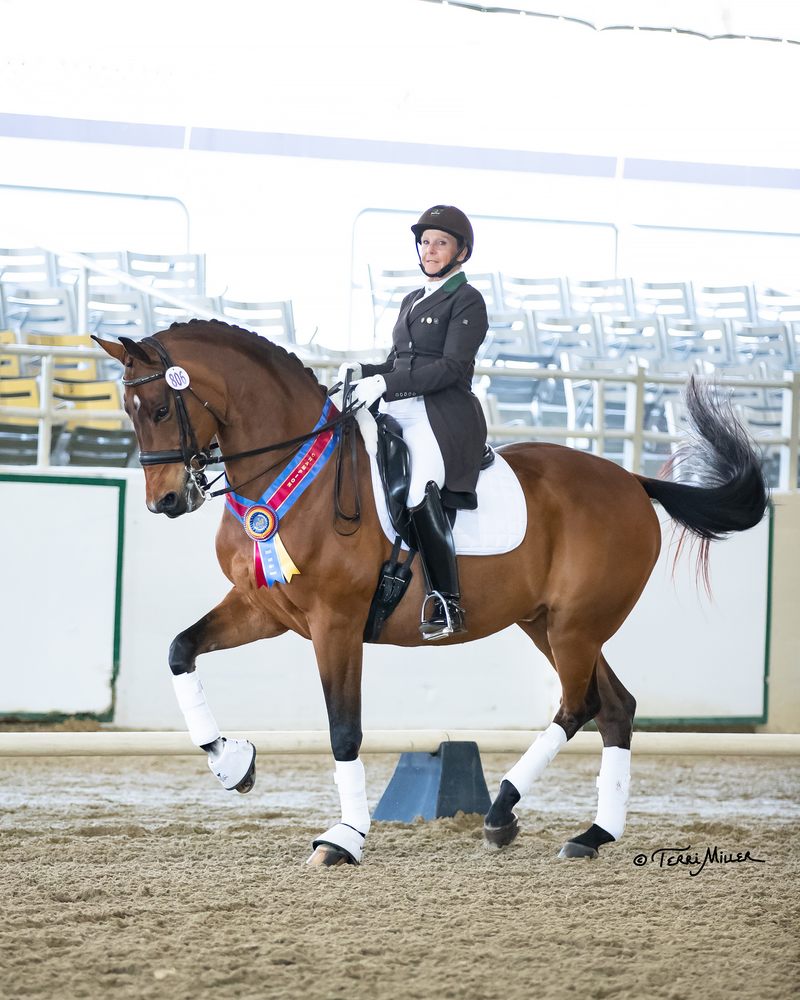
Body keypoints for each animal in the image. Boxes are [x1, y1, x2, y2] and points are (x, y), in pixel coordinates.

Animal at [96, 319, 769, 867]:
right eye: (127, 408)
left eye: (160, 408)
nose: (166, 501)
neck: (289, 471)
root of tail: (631, 479)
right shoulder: (266, 609)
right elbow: (180, 651)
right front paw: (231, 761)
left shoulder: (335, 622)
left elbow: (344, 729)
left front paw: (345, 838)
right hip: (549, 623)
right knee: (615, 708)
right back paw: (592, 834)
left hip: (576, 625)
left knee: (579, 706)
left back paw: (502, 811)